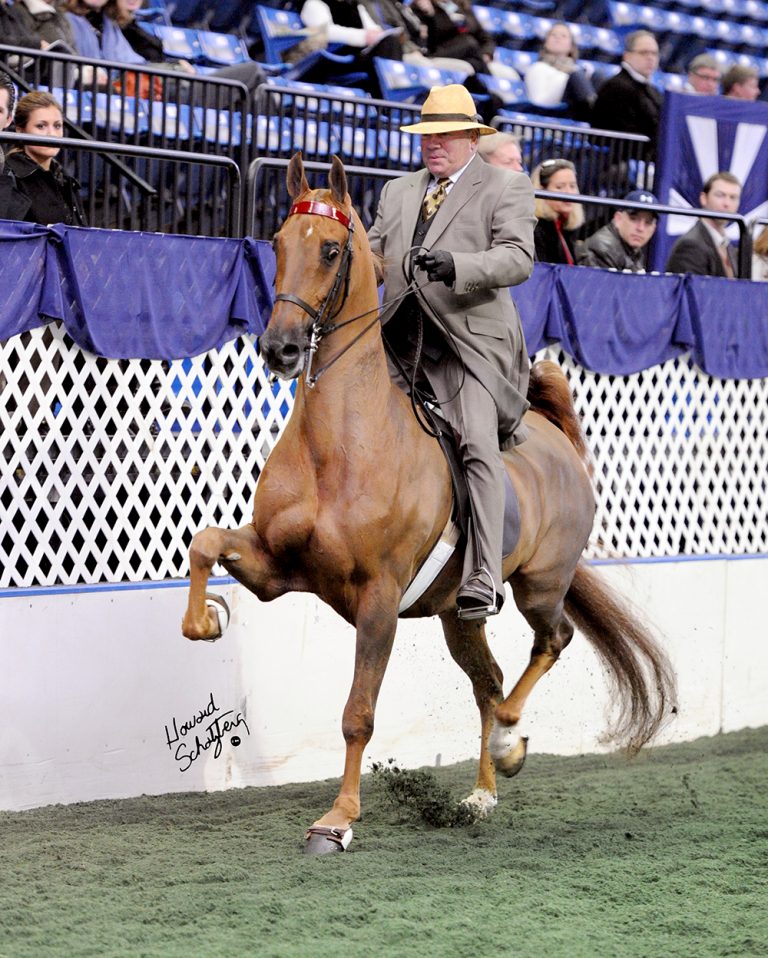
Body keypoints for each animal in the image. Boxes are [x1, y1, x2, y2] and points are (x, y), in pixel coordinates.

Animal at [181, 153, 676, 854]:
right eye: (277, 243)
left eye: (331, 250)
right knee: (488, 682)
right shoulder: (279, 569)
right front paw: (208, 618)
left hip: (540, 584)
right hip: (457, 615)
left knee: (550, 642)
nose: (280, 349)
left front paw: (337, 821)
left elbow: (358, 713)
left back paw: (511, 740)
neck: (341, 444)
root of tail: (554, 437)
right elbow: (206, 543)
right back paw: (481, 793)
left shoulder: (379, 599)